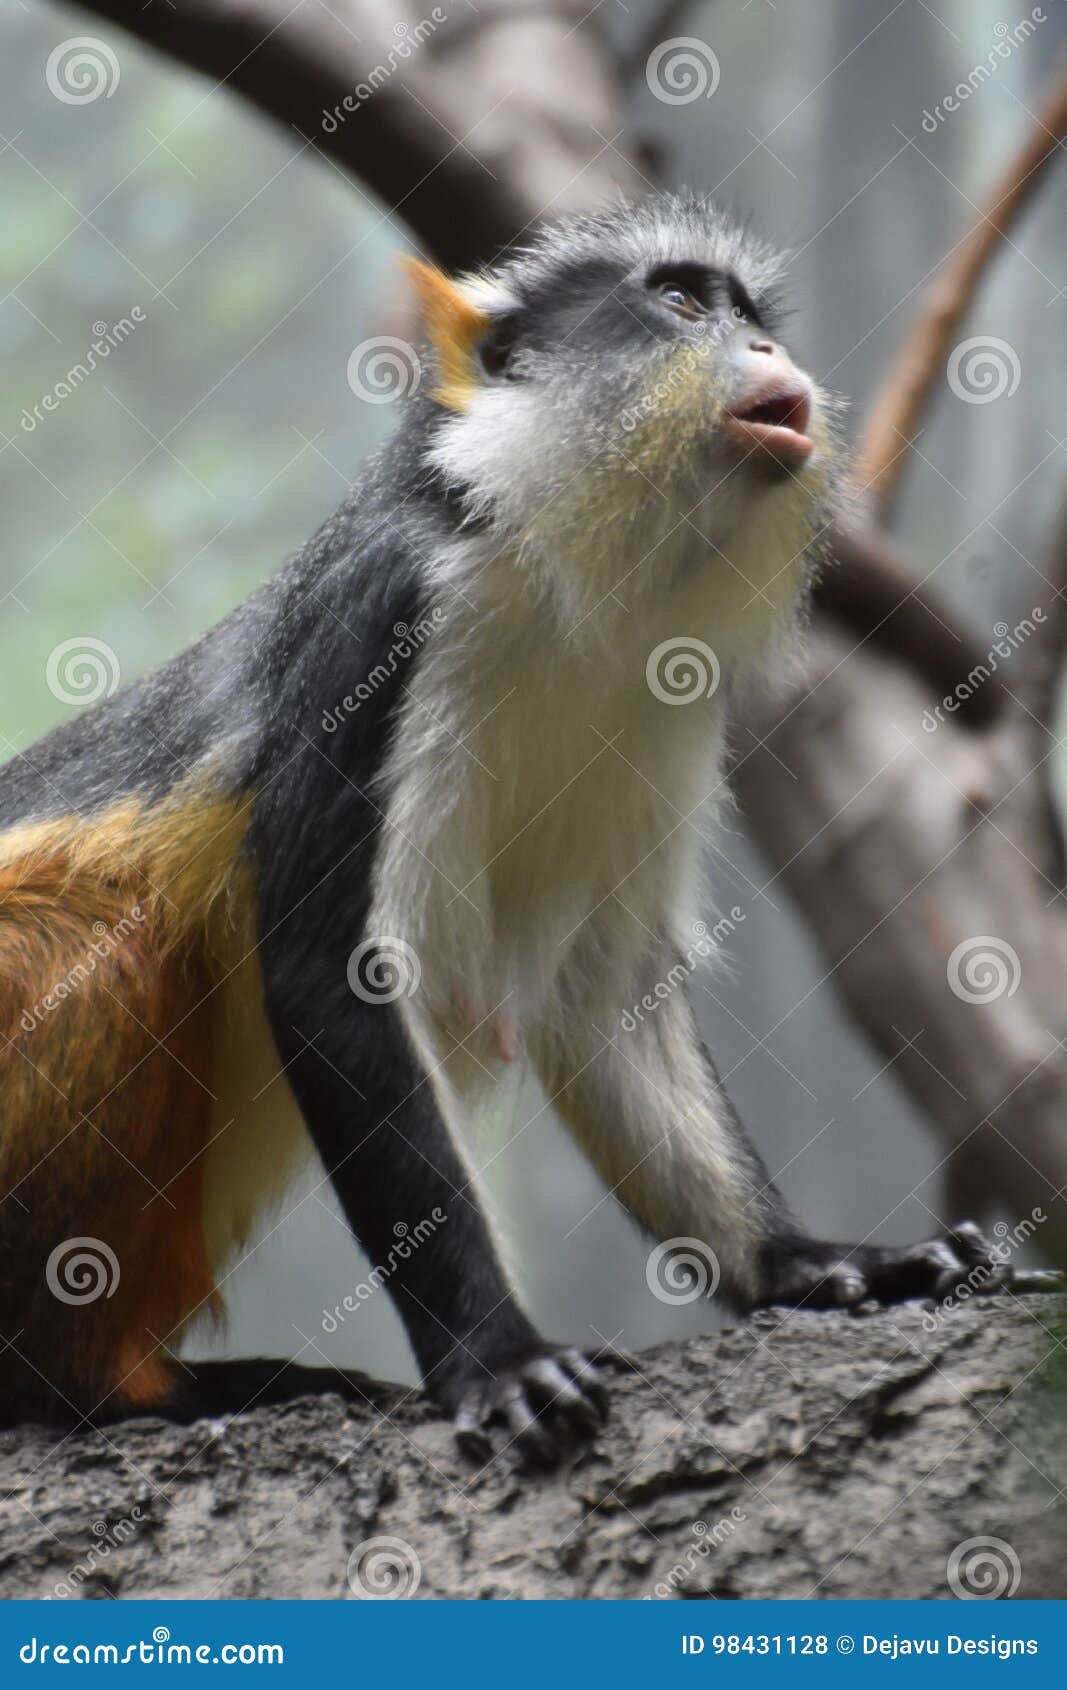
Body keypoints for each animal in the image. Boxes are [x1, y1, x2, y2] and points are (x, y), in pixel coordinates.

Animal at [0, 192, 1021, 1465]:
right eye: (679, 301)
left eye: (745, 311)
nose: (765, 349)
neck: (551, 565)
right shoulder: (387, 617)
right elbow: (331, 968)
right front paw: (499, 1359)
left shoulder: (667, 691)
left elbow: (600, 988)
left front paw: (815, 1261)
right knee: (103, 950)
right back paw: (97, 1382)